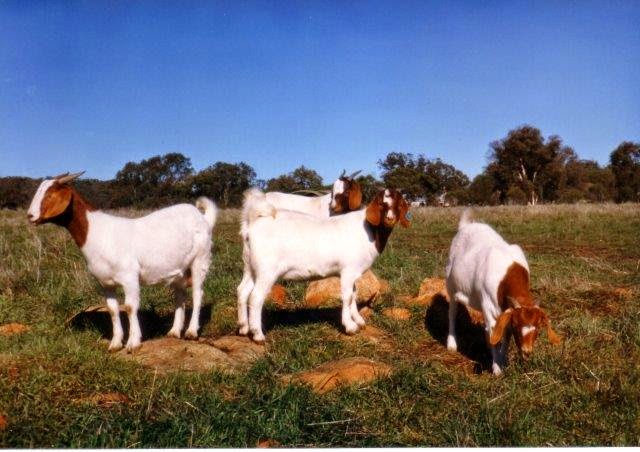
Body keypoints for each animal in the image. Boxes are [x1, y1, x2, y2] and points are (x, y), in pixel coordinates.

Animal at [27, 172, 217, 352]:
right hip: (179, 269)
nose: (30, 215)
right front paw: (115, 344)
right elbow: (113, 309)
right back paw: (174, 331)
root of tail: (203, 218)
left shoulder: (129, 277)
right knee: (180, 296)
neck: (96, 232)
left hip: (200, 259)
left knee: (197, 294)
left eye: (50, 194)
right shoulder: (104, 283)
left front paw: (133, 343)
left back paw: (191, 332)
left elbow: (130, 307)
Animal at [237, 187, 410, 342]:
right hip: (267, 271)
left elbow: (354, 295)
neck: (368, 230)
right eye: (381, 203)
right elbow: (347, 297)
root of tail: (252, 225)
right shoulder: (347, 271)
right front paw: (350, 326)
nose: (390, 219)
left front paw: (359, 321)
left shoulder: (352, 273)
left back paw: (243, 328)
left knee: (242, 291)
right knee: (256, 297)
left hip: (250, 267)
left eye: (399, 204)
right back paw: (258, 335)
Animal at [445, 210, 561, 375]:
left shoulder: (504, 313)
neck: (506, 273)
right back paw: (451, 343)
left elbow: (504, 337)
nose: (526, 351)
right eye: (517, 326)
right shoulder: (489, 308)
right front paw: (497, 368)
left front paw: (503, 360)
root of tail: (466, 225)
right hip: (450, 285)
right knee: (452, 313)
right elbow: (496, 335)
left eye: (538, 327)